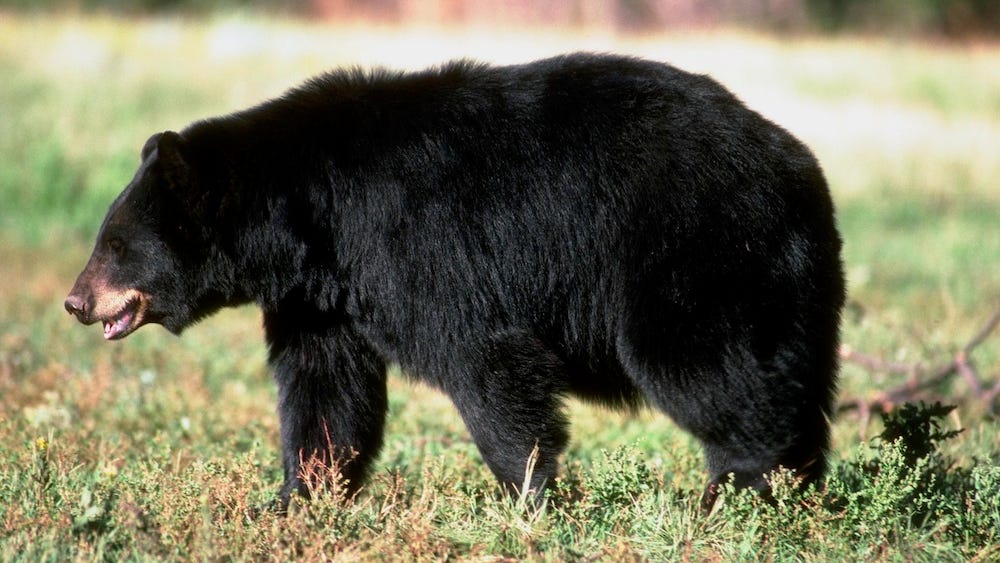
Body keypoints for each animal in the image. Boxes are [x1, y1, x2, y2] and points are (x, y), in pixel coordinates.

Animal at [65, 53, 845, 512]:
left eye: (116, 244)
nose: (76, 300)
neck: (310, 215)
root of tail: (800, 165)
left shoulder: (416, 242)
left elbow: (483, 359)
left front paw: (531, 499)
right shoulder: (320, 297)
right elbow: (326, 390)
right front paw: (296, 500)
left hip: (694, 249)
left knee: (708, 369)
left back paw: (739, 492)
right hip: (787, 283)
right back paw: (798, 488)